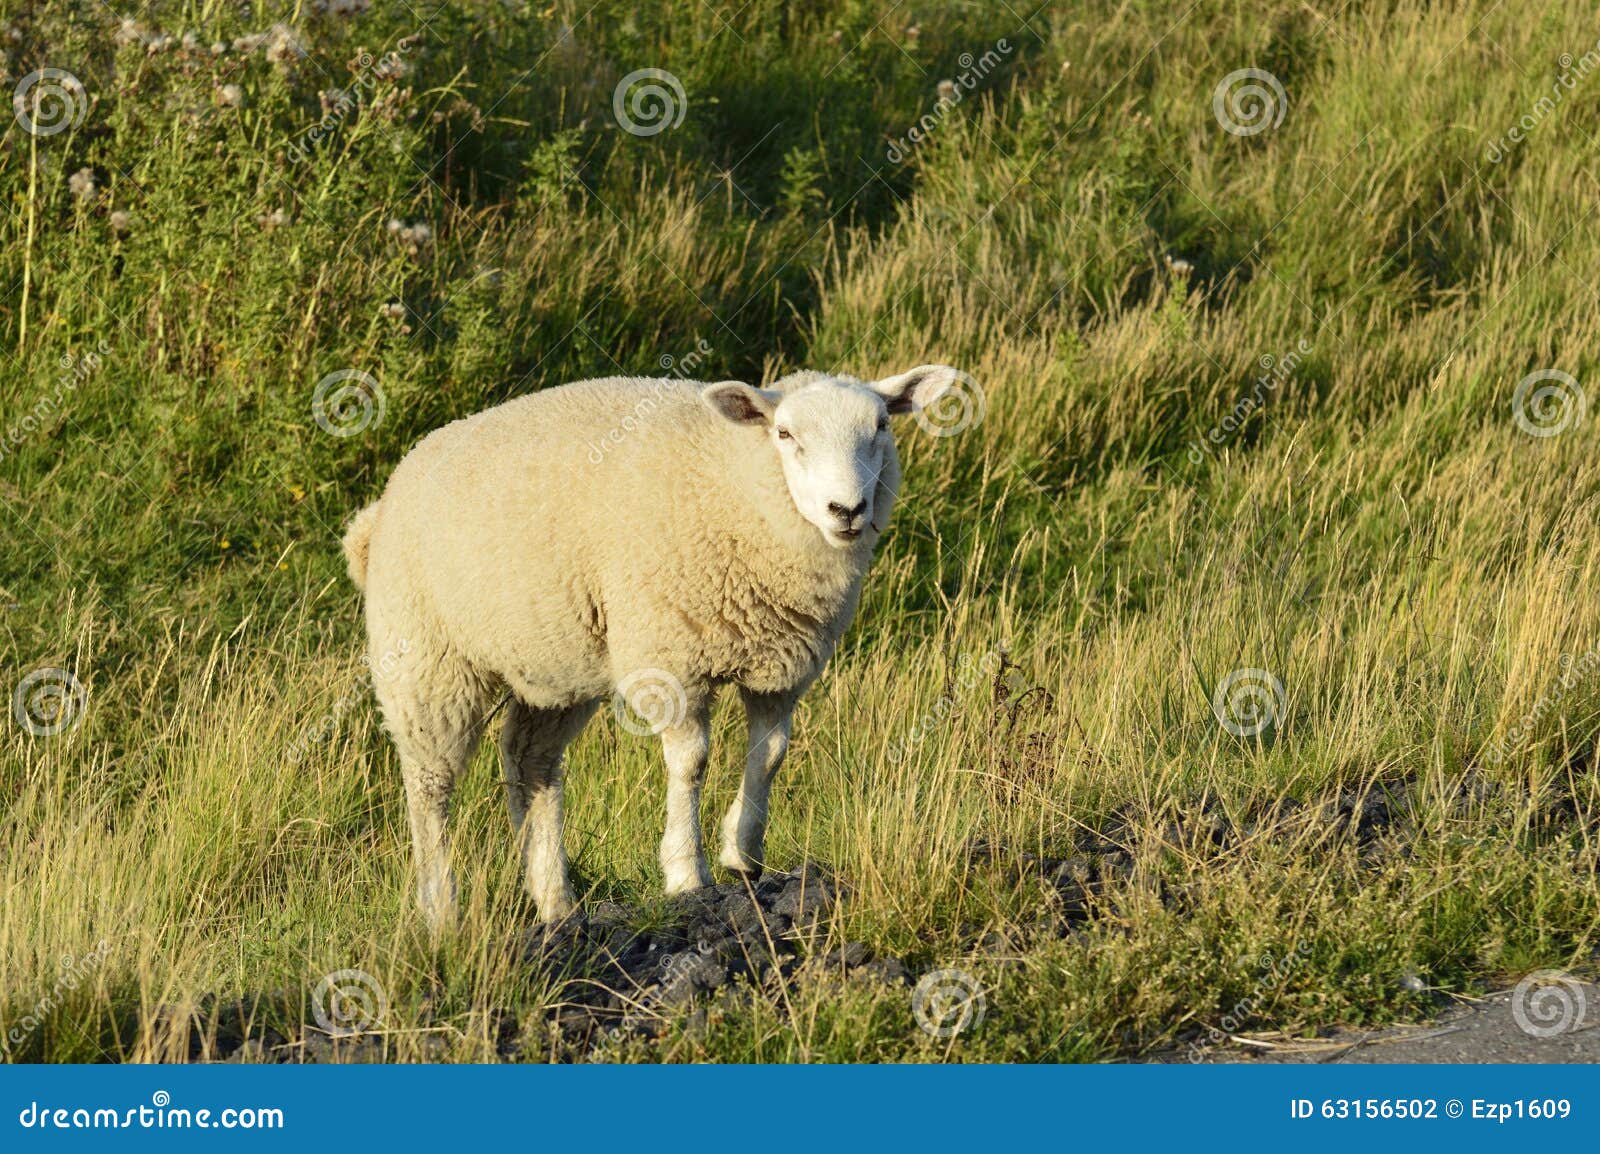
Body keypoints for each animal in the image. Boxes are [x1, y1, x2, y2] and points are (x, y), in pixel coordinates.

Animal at [342, 364, 962, 930]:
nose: (847, 511)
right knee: (430, 785)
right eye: (785, 434)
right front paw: (686, 872)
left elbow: (771, 754)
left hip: (555, 660)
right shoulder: (672, 656)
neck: (737, 485)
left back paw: (554, 901)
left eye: (881, 425)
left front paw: (742, 854)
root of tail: (376, 512)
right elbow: (692, 763)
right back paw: (441, 912)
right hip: (426, 658)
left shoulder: (784, 665)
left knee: (529, 760)